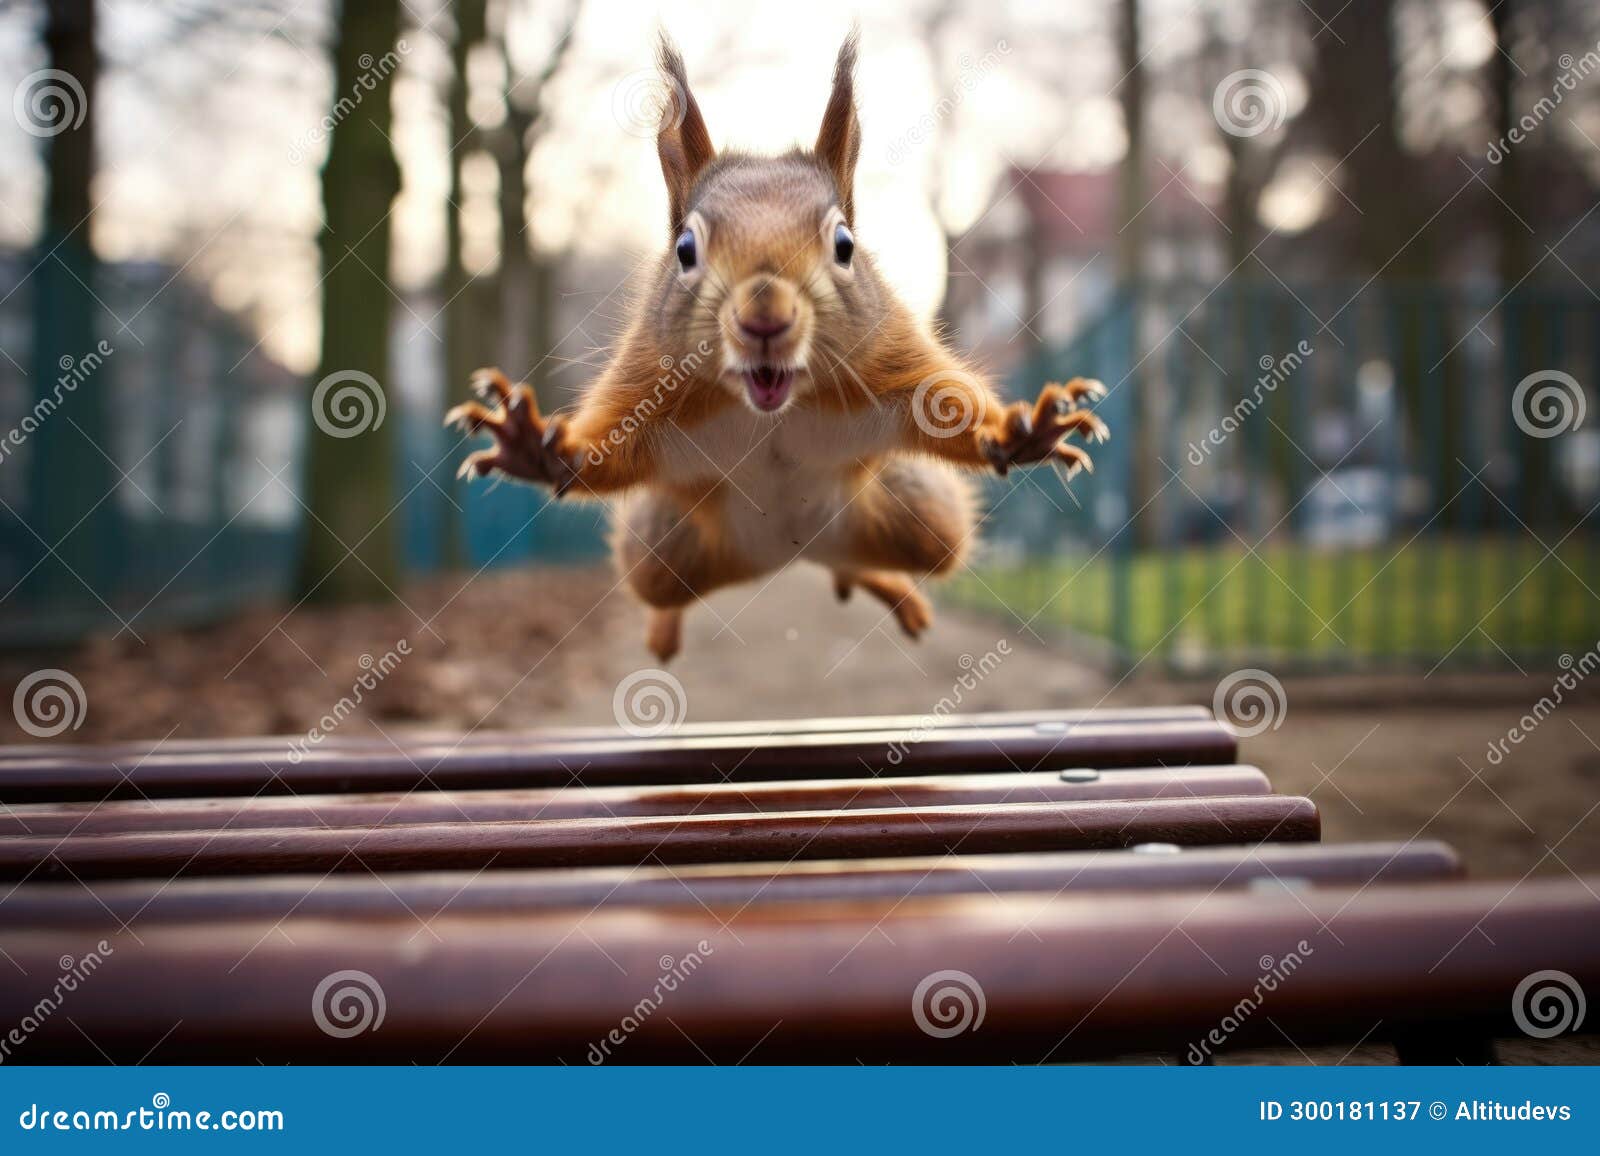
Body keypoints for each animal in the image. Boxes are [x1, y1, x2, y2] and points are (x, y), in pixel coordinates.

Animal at [446, 32, 1108, 663]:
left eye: (844, 244)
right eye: (685, 249)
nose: (765, 315)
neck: (772, 409)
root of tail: (792, 556)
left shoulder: (891, 357)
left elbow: (948, 410)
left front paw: (1023, 432)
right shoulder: (646, 380)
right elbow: (607, 450)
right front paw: (537, 446)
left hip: (918, 516)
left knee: (895, 556)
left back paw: (898, 596)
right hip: (660, 540)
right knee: (663, 590)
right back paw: (664, 630)